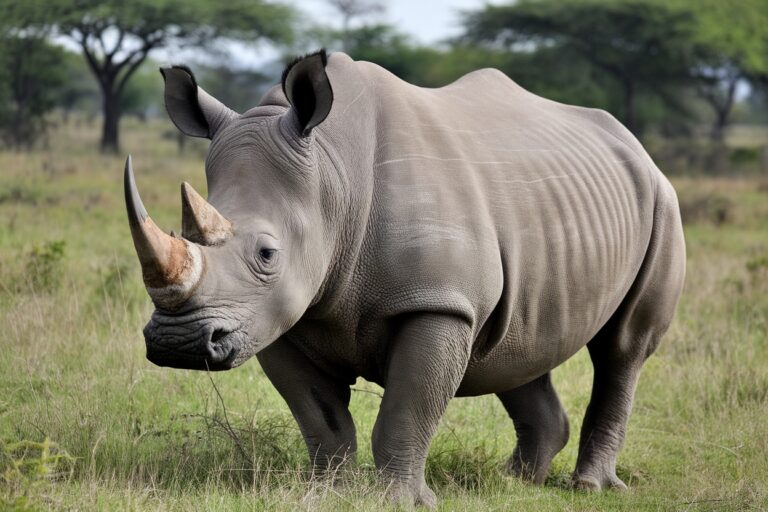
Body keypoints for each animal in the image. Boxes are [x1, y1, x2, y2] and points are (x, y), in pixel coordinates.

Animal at [124, 50, 686, 508]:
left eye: (267, 253)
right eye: (182, 232)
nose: (178, 343)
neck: (331, 179)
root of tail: (632, 143)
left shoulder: (437, 302)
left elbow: (406, 408)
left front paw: (399, 501)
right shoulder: (275, 316)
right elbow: (320, 417)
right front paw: (327, 494)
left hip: (662, 198)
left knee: (623, 349)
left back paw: (588, 487)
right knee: (517, 344)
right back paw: (514, 483)